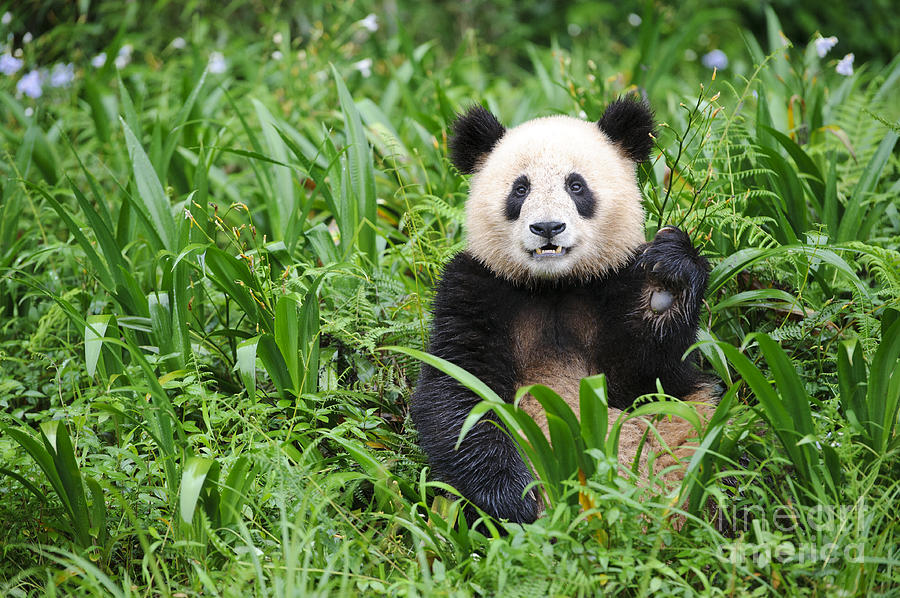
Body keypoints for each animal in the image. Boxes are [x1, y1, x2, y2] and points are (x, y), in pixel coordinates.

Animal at [410, 98, 717, 525]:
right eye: (520, 188)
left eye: (576, 186)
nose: (547, 228)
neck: (554, 285)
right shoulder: (474, 288)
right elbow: (458, 391)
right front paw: (513, 500)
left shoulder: (614, 281)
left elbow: (648, 379)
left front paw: (666, 285)